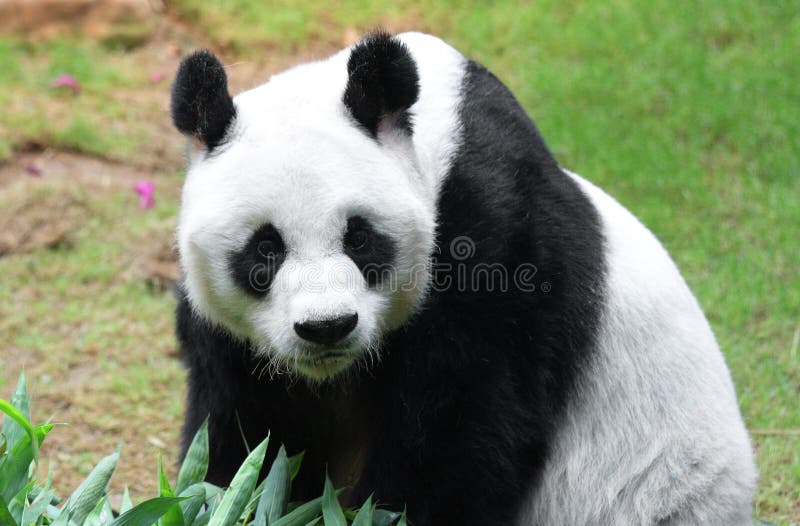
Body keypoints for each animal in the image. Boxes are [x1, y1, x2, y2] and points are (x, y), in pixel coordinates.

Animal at [170, 31, 756, 525]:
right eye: (265, 248)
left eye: (359, 238)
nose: (327, 327)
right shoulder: (233, 343)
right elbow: (242, 434)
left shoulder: (500, 247)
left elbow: (460, 436)